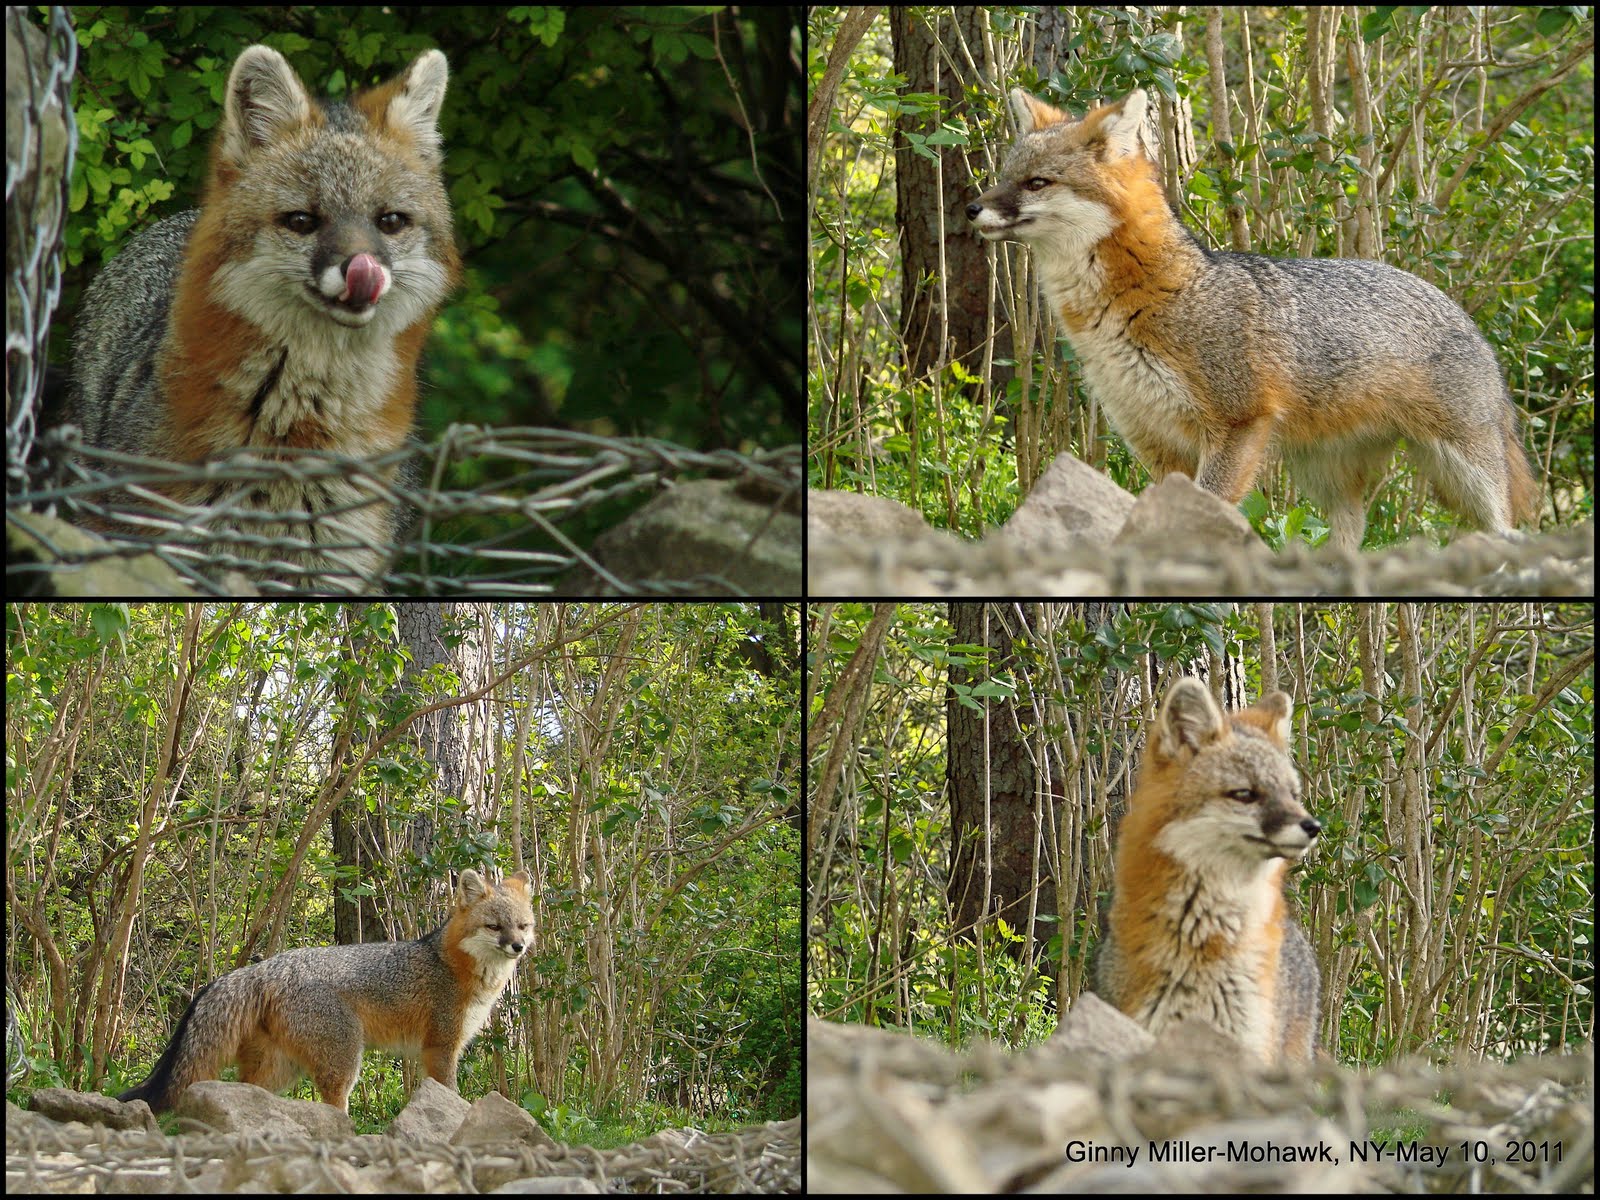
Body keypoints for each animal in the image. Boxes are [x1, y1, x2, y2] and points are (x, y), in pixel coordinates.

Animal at [117, 870, 533, 1113]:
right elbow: (451, 1094)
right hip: (342, 1061)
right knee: (334, 1105)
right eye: (495, 927)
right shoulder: (441, 1047)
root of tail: (263, 967)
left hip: (279, 1069)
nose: (518, 947)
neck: (450, 961)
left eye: (523, 926)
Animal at [967, 86, 1539, 552]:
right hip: (1326, 477)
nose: (972, 208)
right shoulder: (1153, 440)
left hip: (1468, 473)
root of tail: (1466, 316)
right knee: (1351, 535)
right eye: (1004, 177)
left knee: (1509, 528)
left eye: (1037, 182)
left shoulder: (1237, 422)